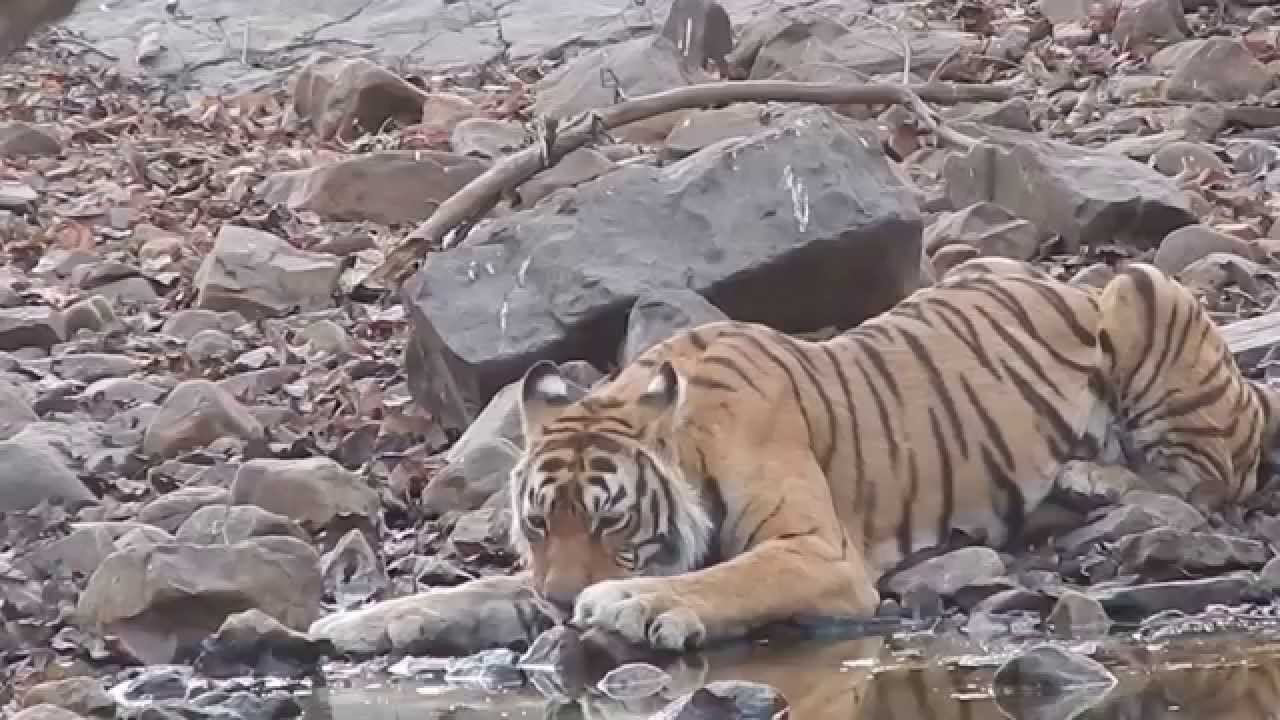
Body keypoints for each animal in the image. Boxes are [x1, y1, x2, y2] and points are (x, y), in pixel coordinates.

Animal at [506, 256, 1280, 652]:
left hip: (1141, 288)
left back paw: (1091, 479)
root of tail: (1070, 281)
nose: (561, 603)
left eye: (610, 520)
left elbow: (728, 578)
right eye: (539, 523)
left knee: (1201, 482)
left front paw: (628, 601)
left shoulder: (818, 551)